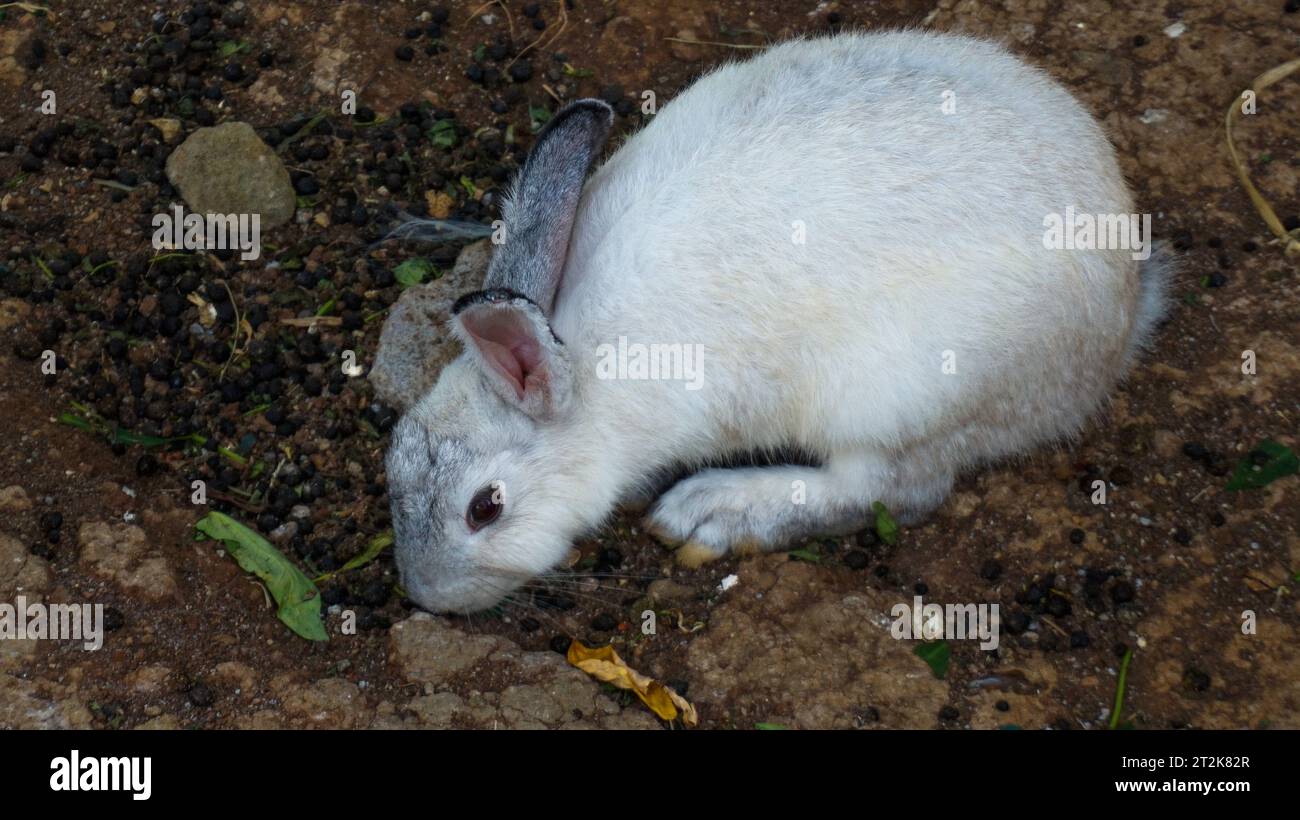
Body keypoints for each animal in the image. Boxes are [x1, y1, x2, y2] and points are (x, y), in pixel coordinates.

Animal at [385, 30, 1172, 614]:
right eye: (392, 458)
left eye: (485, 509)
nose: (428, 595)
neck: (583, 370)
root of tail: (1117, 325)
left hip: (898, 396)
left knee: (889, 490)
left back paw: (713, 513)